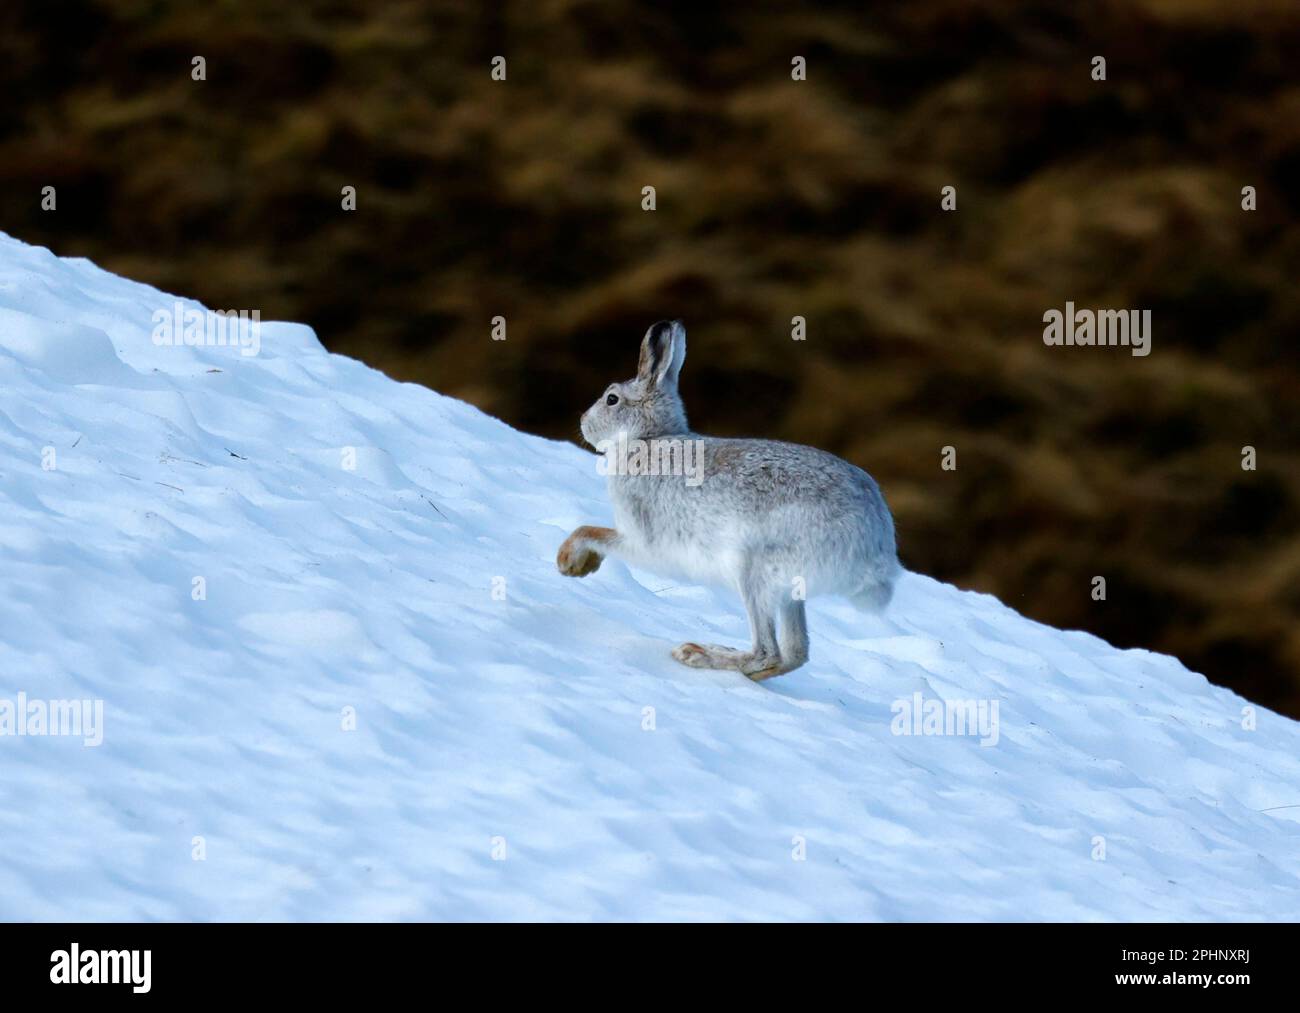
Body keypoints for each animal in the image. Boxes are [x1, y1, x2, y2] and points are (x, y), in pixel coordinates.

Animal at [557, 319, 900, 680]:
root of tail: (876, 551)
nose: (583, 422)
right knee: (795, 654)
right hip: (789, 590)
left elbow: (591, 531)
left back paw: (700, 655)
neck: (650, 438)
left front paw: (569, 561)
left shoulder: (640, 537)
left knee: (769, 652)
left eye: (612, 399)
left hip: (754, 569)